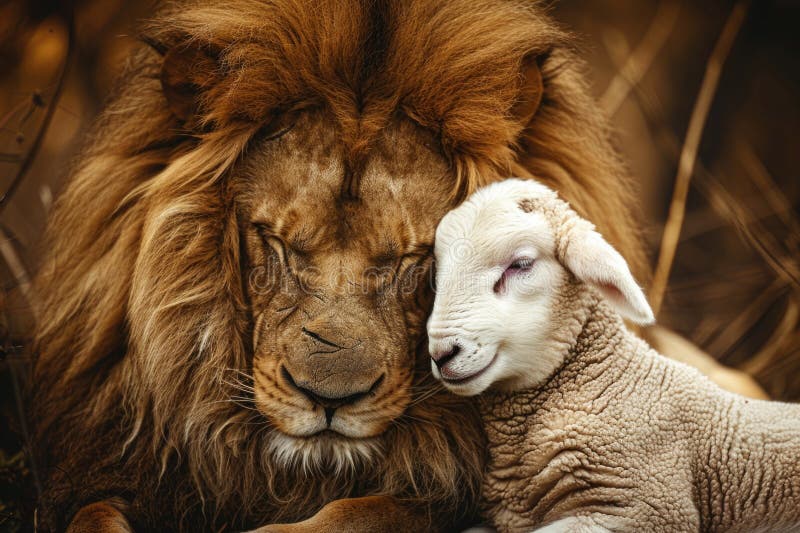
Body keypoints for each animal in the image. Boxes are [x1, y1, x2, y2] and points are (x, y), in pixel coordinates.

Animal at [28, 0, 763, 531]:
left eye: (418, 258)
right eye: (277, 243)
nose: (329, 400)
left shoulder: (441, 495)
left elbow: (353, 516)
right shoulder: (112, 469)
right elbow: (91, 519)